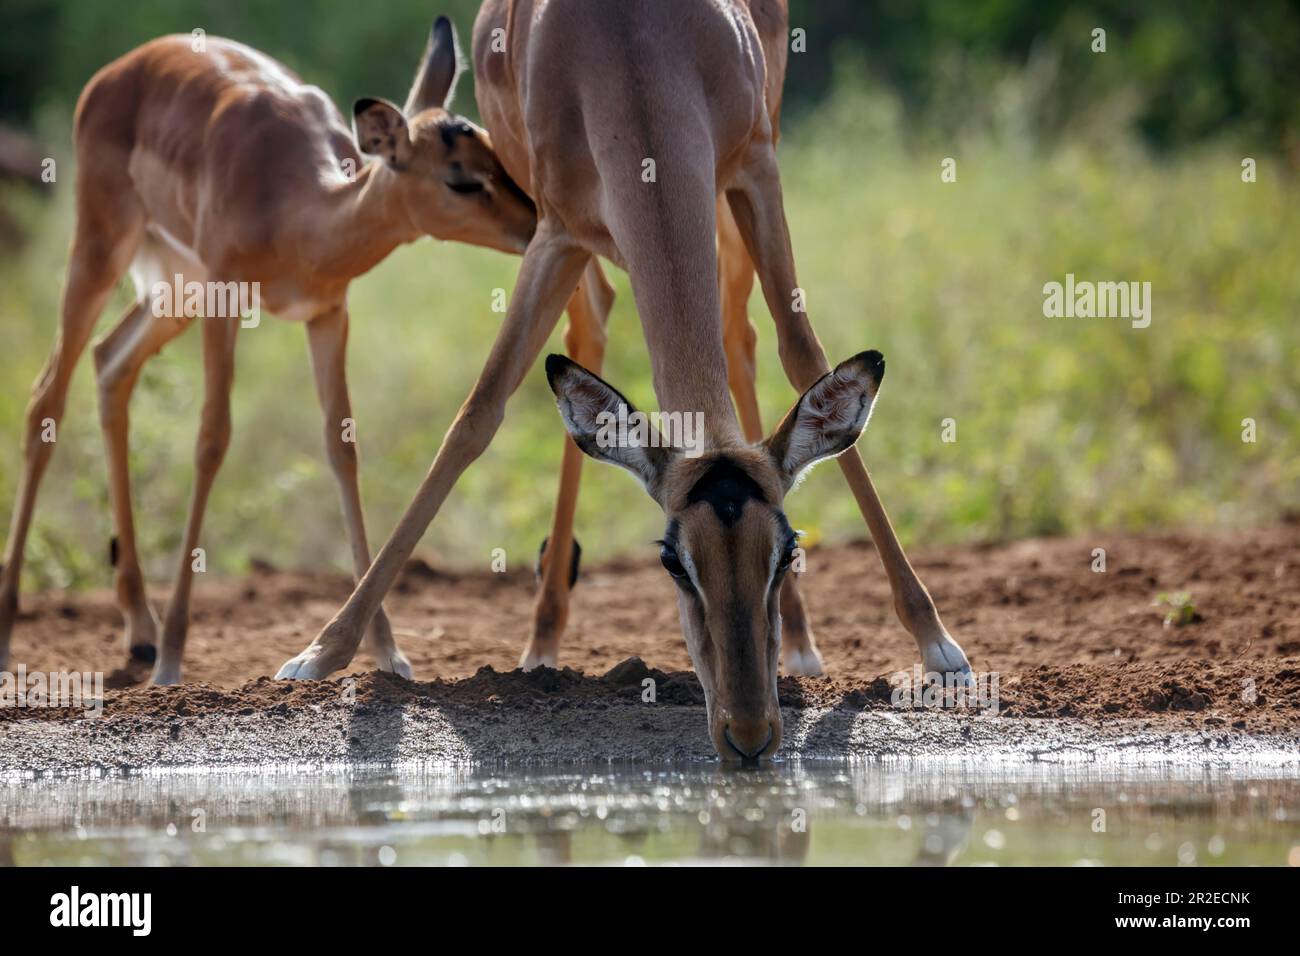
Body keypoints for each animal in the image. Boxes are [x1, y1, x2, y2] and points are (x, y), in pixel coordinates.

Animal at [0, 18, 537, 685]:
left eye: (494, 151)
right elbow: (211, 441)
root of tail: (121, 67)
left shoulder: (328, 314)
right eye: (462, 177)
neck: (297, 211)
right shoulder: (226, 299)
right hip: (104, 248)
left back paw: (140, 630)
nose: (536, 221)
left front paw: (384, 652)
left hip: (176, 286)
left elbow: (342, 447)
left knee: (109, 363)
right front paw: (174, 660)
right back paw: (30, 636)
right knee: (46, 396)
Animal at [278, 0, 974, 761]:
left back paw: (800, 642)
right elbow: (479, 409)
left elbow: (803, 353)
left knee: (739, 338)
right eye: (672, 560)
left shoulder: (756, 169)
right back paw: (542, 640)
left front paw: (939, 643)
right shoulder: (557, 230)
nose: (749, 734)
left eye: (788, 550)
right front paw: (320, 651)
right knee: (593, 332)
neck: (632, 49)